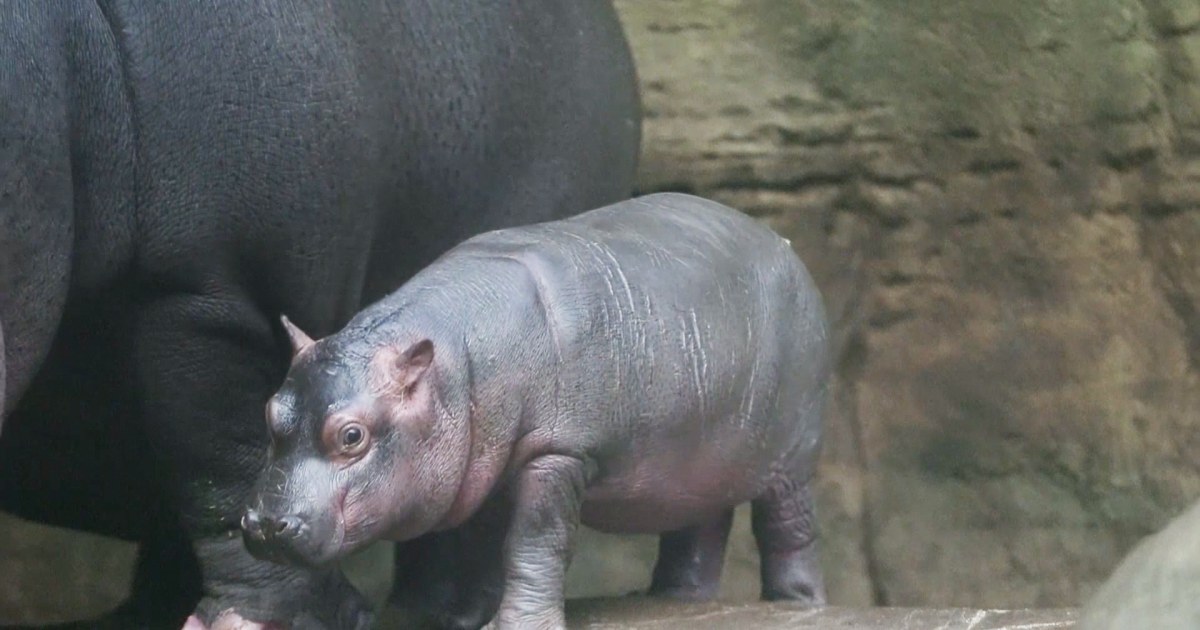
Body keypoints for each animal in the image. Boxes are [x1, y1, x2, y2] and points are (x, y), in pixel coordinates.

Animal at [245, 193, 831, 630]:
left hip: (794, 452)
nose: (267, 523)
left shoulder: (559, 452)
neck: (455, 363)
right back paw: (675, 599)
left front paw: (513, 624)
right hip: (707, 453)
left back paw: (798, 603)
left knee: (789, 526)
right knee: (701, 522)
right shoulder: (481, 465)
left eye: (351, 436)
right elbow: (480, 549)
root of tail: (785, 249)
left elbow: (535, 544)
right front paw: (459, 619)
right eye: (271, 413)